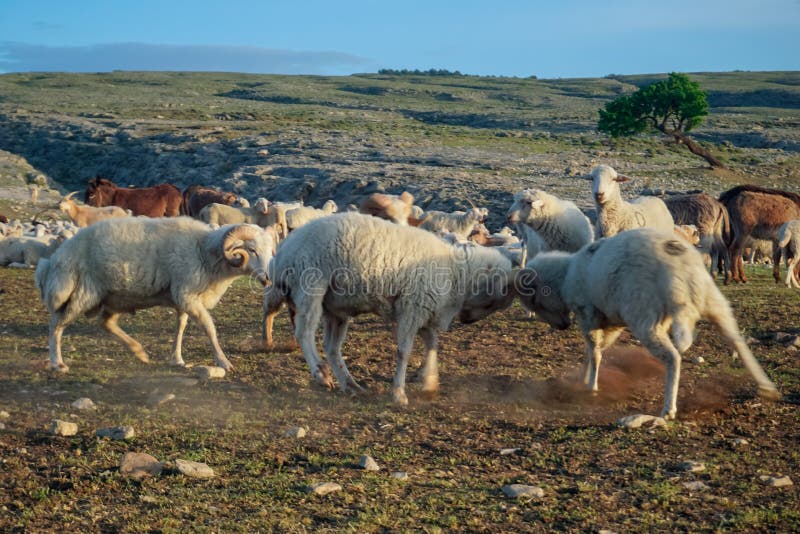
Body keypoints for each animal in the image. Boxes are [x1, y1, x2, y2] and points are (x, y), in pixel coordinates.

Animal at [35, 217, 276, 372]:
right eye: (252, 250)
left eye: (270, 250)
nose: (267, 279)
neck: (204, 251)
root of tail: (57, 258)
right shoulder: (187, 294)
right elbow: (209, 328)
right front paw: (223, 362)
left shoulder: (184, 298)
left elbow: (180, 327)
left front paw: (177, 359)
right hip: (82, 293)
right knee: (56, 324)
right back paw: (57, 363)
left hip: (115, 298)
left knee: (105, 323)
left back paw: (139, 351)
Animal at [265, 212, 516, 404]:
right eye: (493, 302)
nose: (467, 321)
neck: (456, 273)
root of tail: (283, 251)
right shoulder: (412, 308)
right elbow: (404, 352)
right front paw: (399, 393)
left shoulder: (422, 312)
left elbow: (432, 345)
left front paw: (429, 380)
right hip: (310, 286)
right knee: (304, 333)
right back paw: (320, 373)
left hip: (336, 308)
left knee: (332, 348)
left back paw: (351, 385)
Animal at [516, 228, 780, 419]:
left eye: (535, 301)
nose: (561, 327)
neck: (565, 276)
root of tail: (680, 270)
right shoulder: (611, 320)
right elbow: (595, 349)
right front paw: (584, 375)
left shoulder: (589, 313)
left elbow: (595, 350)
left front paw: (591, 386)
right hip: (712, 301)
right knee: (736, 339)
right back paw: (767, 387)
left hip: (644, 315)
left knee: (673, 356)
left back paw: (668, 409)